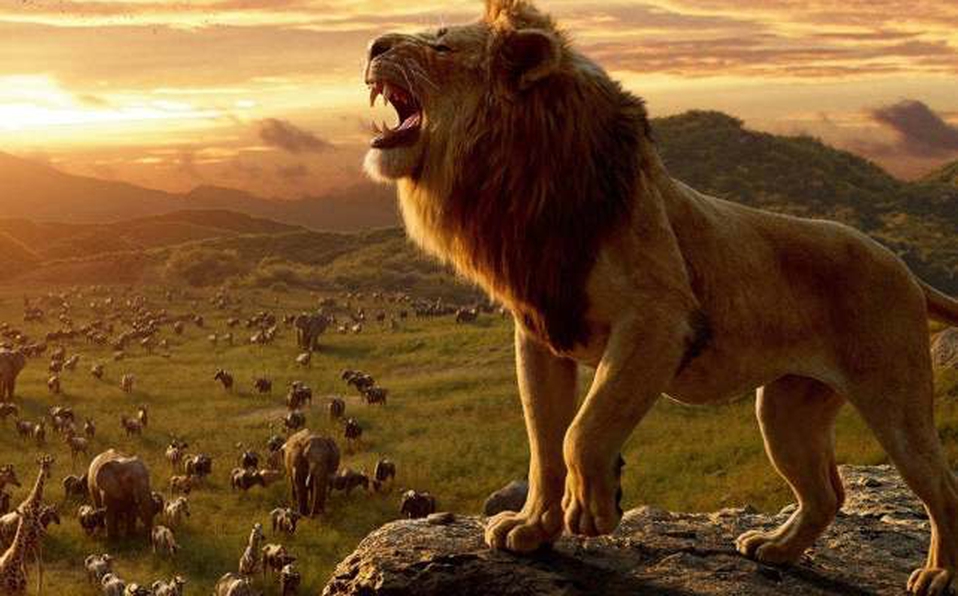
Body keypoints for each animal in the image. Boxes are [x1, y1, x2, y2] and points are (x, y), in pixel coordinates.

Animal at [361, 1, 958, 594]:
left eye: (441, 46)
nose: (372, 46)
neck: (519, 185)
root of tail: (904, 268)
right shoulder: (540, 333)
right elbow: (543, 444)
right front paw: (531, 529)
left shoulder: (659, 320)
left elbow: (583, 430)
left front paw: (594, 510)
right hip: (787, 409)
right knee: (826, 492)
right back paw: (776, 549)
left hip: (894, 400)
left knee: (941, 486)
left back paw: (937, 573)